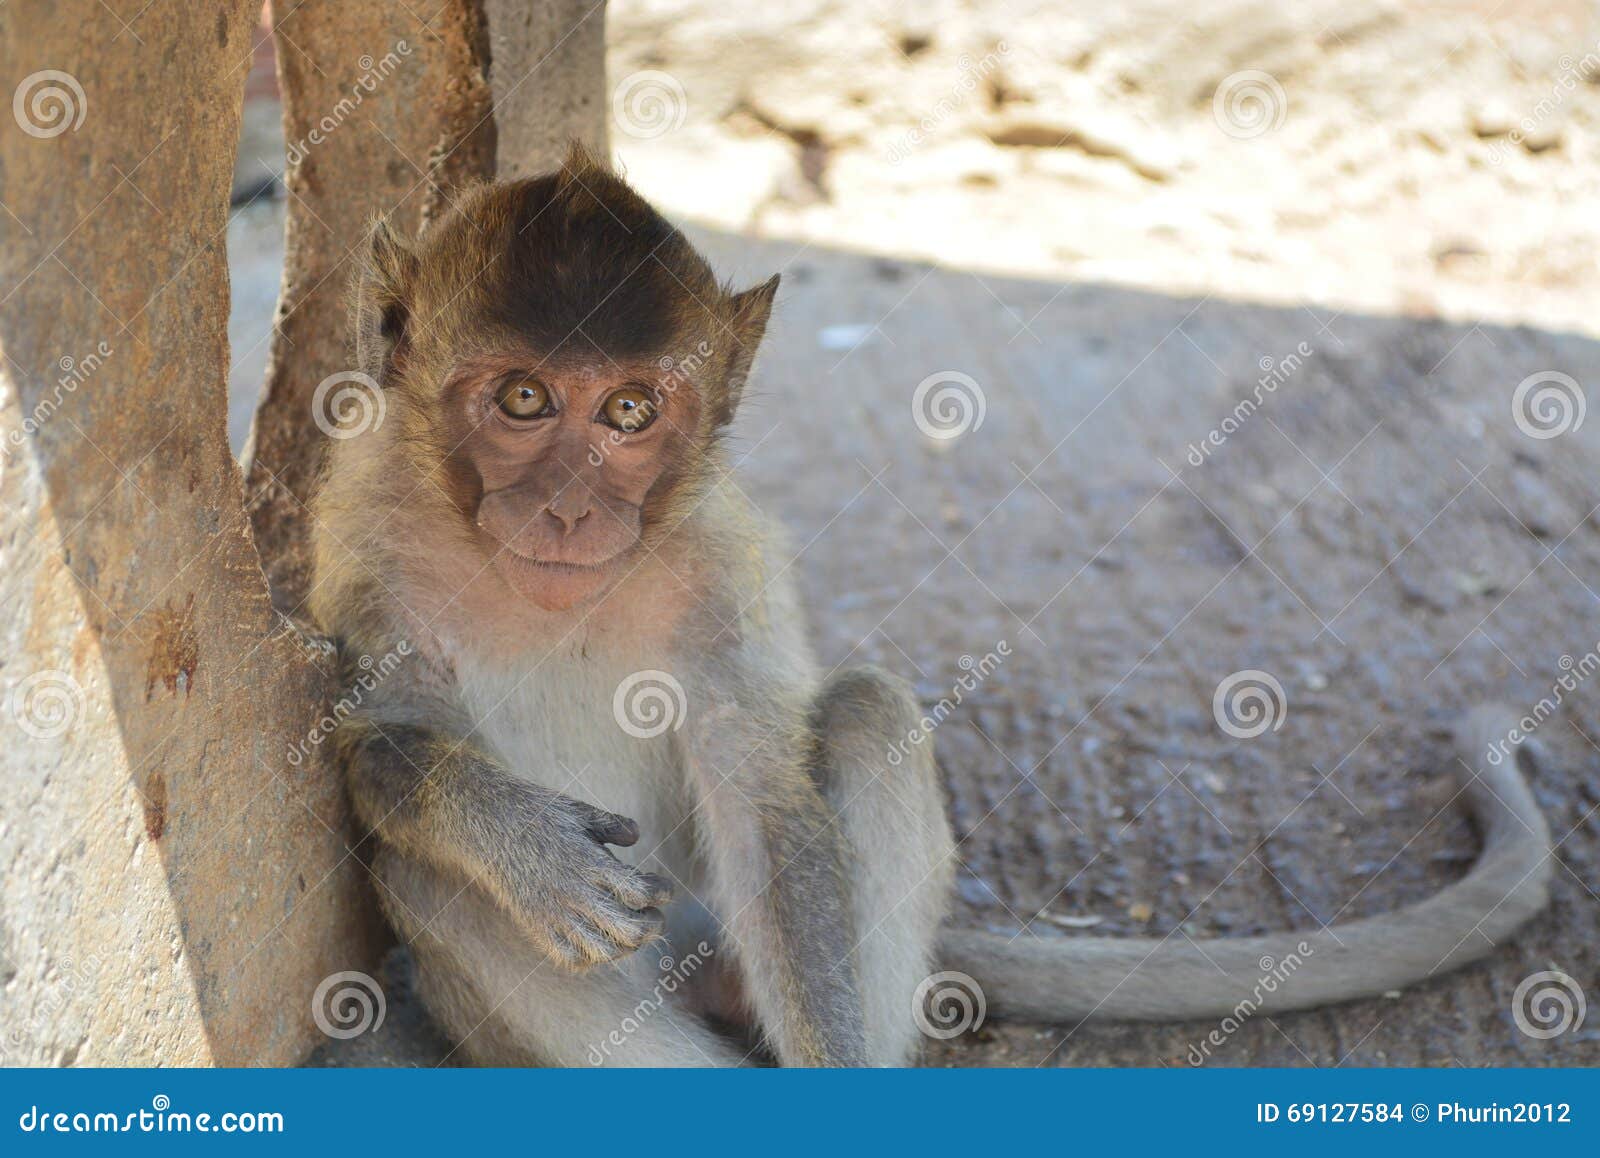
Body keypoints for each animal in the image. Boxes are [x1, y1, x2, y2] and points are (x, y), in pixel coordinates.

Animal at [307, 142, 1551, 1066]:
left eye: (625, 411)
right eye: (523, 400)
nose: (569, 510)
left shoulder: (720, 559)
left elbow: (768, 807)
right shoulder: (360, 538)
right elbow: (370, 747)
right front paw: (515, 839)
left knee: (864, 714)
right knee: (427, 877)